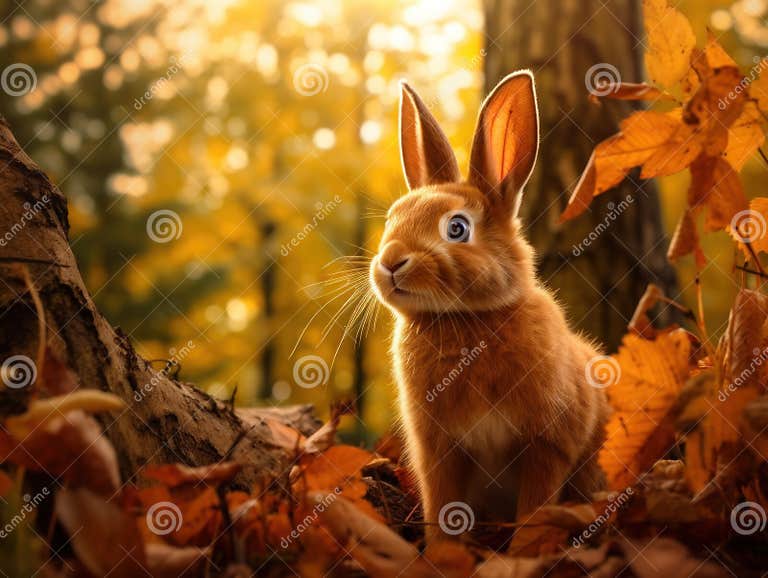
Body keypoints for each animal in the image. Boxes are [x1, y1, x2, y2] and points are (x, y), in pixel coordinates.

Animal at [369, 70, 609, 540]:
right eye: (392, 219)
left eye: (457, 228)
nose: (390, 263)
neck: (467, 319)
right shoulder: (438, 449)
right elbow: (443, 504)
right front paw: (442, 550)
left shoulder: (548, 442)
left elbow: (536, 505)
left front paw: (527, 547)